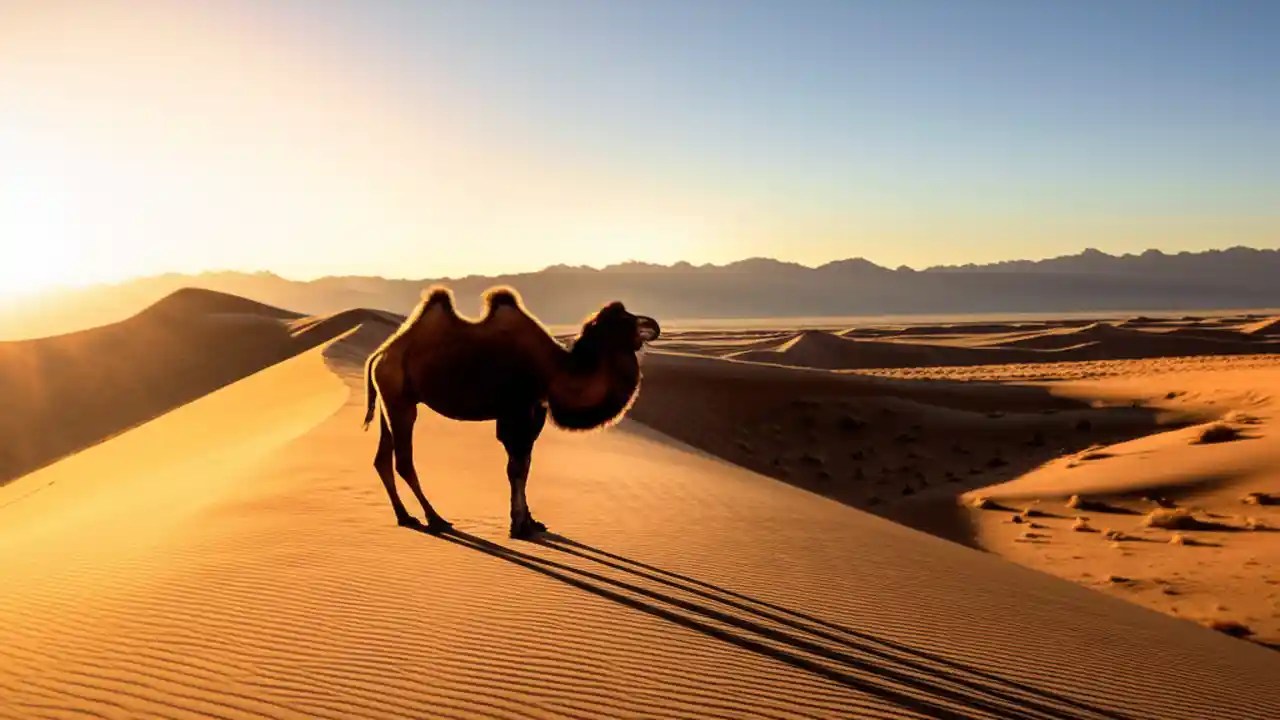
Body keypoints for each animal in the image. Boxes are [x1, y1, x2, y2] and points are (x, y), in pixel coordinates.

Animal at [363, 286, 661, 538]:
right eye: (623, 320)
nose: (653, 326)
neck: (553, 371)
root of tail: (379, 355)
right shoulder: (517, 411)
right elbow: (516, 468)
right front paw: (519, 526)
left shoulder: (534, 410)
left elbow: (524, 465)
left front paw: (531, 521)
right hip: (400, 402)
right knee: (403, 460)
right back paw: (435, 518)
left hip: (390, 401)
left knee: (382, 459)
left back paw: (405, 516)